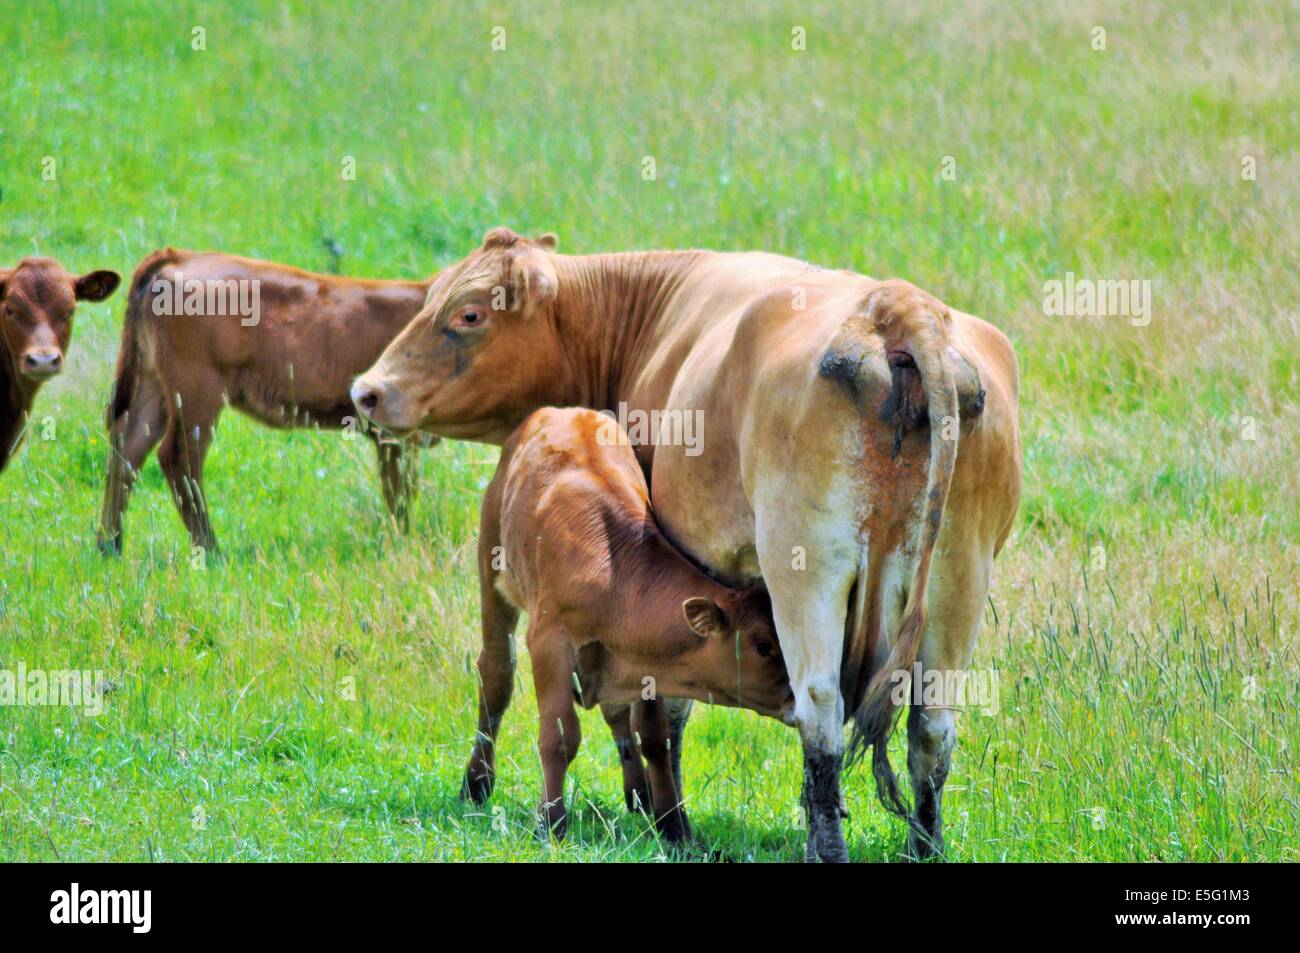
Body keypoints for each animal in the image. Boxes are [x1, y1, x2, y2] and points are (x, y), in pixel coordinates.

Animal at [98, 249, 436, 554]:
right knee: (178, 458)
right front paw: (403, 545)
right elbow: (400, 494)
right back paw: (211, 550)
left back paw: (110, 546)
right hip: (197, 393)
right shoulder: (394, 435)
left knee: (127, 451)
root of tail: (178, 255)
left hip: (154, 386)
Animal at [473, 405, 793, 841]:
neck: (614, 571)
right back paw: (476, 781)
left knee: (618, 718)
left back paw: (638, 795)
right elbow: (559, 735)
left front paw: (672, 823)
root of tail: (557, 411)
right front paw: (550, 821)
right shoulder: (549, 641)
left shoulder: (648, 663)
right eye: (762, 645)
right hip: (491, 568)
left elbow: (654, 739)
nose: (796, 697)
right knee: (495, 676)